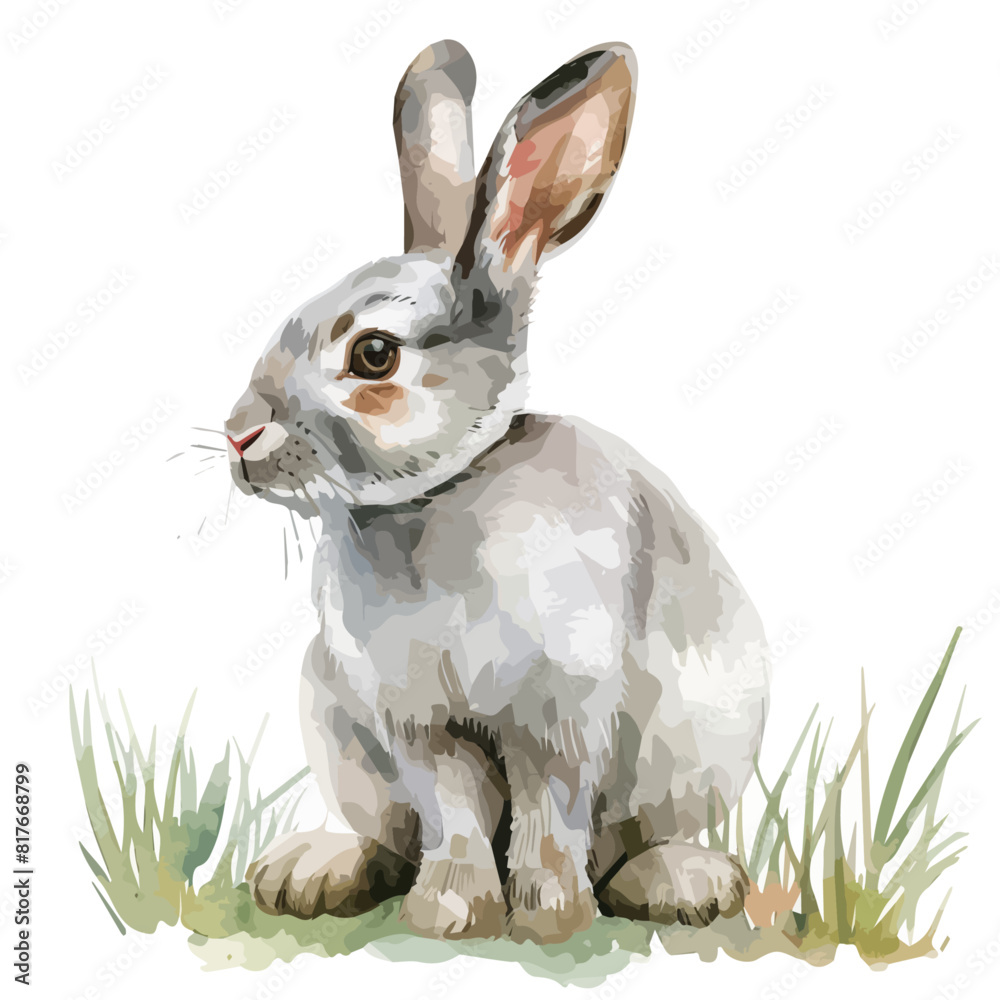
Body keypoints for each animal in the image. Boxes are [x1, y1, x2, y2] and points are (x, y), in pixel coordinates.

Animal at [228, 39, 770, 944]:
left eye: (374, 354)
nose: (238, 437)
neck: (432, 500)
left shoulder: (560, 712)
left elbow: (550, 813)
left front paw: (549, 919)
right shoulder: (417, 723)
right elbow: (452, 814)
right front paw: (450, 914)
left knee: (637, 841)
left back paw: (679, 883)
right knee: (391, 837)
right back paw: (313, 872)